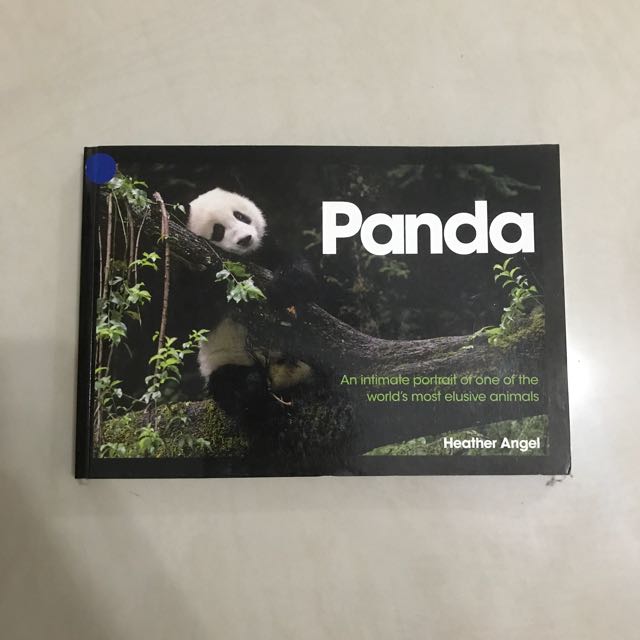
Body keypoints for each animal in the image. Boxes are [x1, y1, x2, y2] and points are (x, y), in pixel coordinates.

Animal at [187, 187, 314, 418]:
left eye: (240, 216)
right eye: (218, 230)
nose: (245, 239)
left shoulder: (266, 247)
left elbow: (298, 269)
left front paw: (286, 286)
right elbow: (195, 320)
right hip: (226, 358)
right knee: (231, 384)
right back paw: (252, 389)